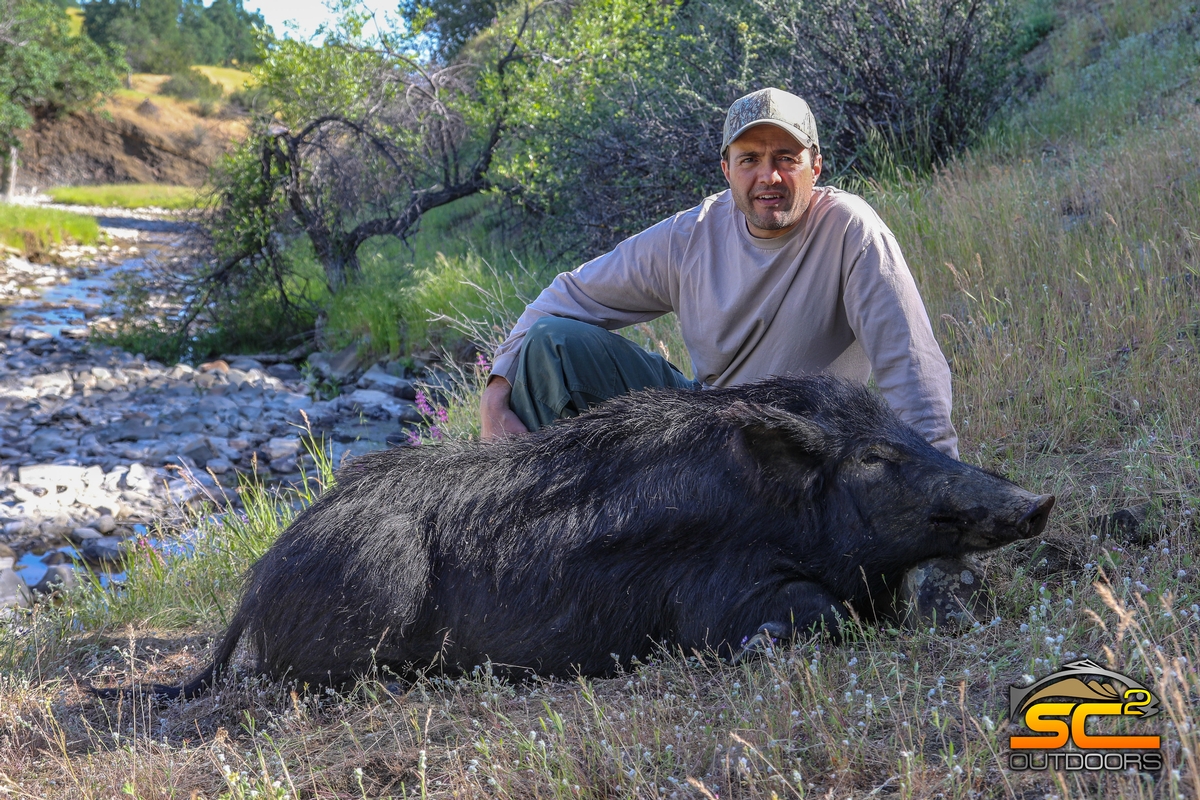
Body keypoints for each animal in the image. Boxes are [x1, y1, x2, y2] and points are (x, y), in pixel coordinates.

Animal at [95, 374, 1053, 699]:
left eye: (909, 431)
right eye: (876, 458)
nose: (1039, 500)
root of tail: (256, 579)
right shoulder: (717, 602)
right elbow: (815, 615)